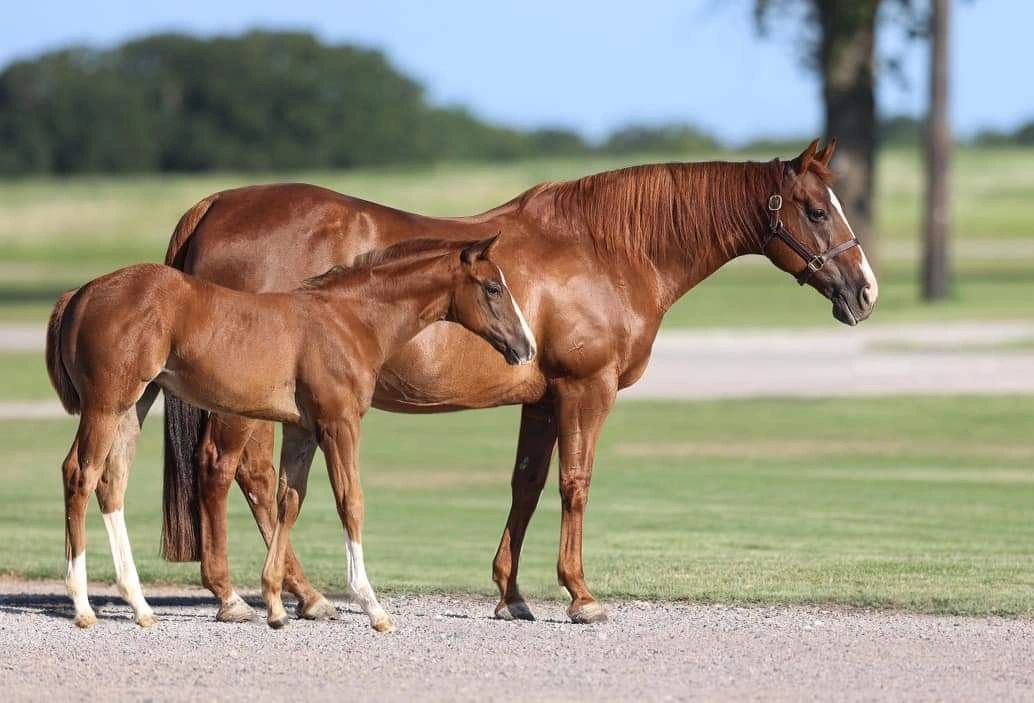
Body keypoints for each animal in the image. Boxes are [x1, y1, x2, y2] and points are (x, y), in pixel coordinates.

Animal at [45, 236, 535, 631]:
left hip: (135, 405)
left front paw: (278, 607)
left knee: (112, 483)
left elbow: (289, 502)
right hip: (106, 405)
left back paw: (142, 608)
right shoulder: (340, 423)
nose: (526, 347)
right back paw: (83, 607)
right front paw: (372, 607)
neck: (349, 320)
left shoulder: (302, 429)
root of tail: (80, 294)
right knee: (79, 474)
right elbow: (350, 502)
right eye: (493, 288)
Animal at [160, 138, 878, 625]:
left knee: (260, 480)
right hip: (242, 403)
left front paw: (511, 594)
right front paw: (581, 595)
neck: (607, 248)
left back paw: (306, 596)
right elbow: (574, 484)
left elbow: (527, 485)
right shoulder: (586, 390)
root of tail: (216, 204)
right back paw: (233, 595)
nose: (864, 290)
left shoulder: (542, 400)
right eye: (816, 210)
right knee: (222, 468)